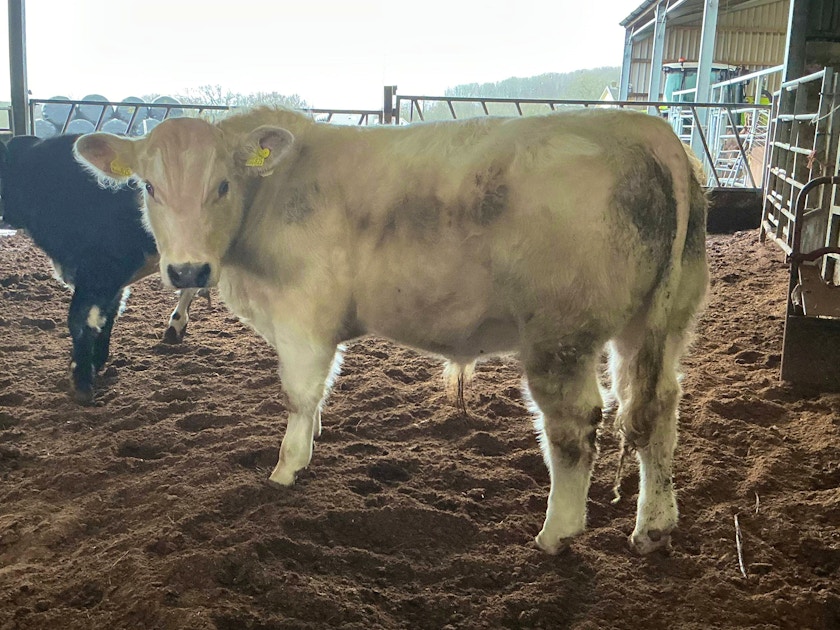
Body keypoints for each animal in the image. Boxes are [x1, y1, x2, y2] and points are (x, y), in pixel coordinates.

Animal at [74, 107, 709, 554]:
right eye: (148, 187)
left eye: (222, 186)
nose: (186, 271)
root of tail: (647, 131)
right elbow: (319, 394)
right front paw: (313, 440)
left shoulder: (302, 317)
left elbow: (298, 394)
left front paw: (286, 468)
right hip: (659, 323)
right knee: (656, 409)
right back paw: (654, 525)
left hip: (560, 336)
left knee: (576, 426)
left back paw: (558, 532)